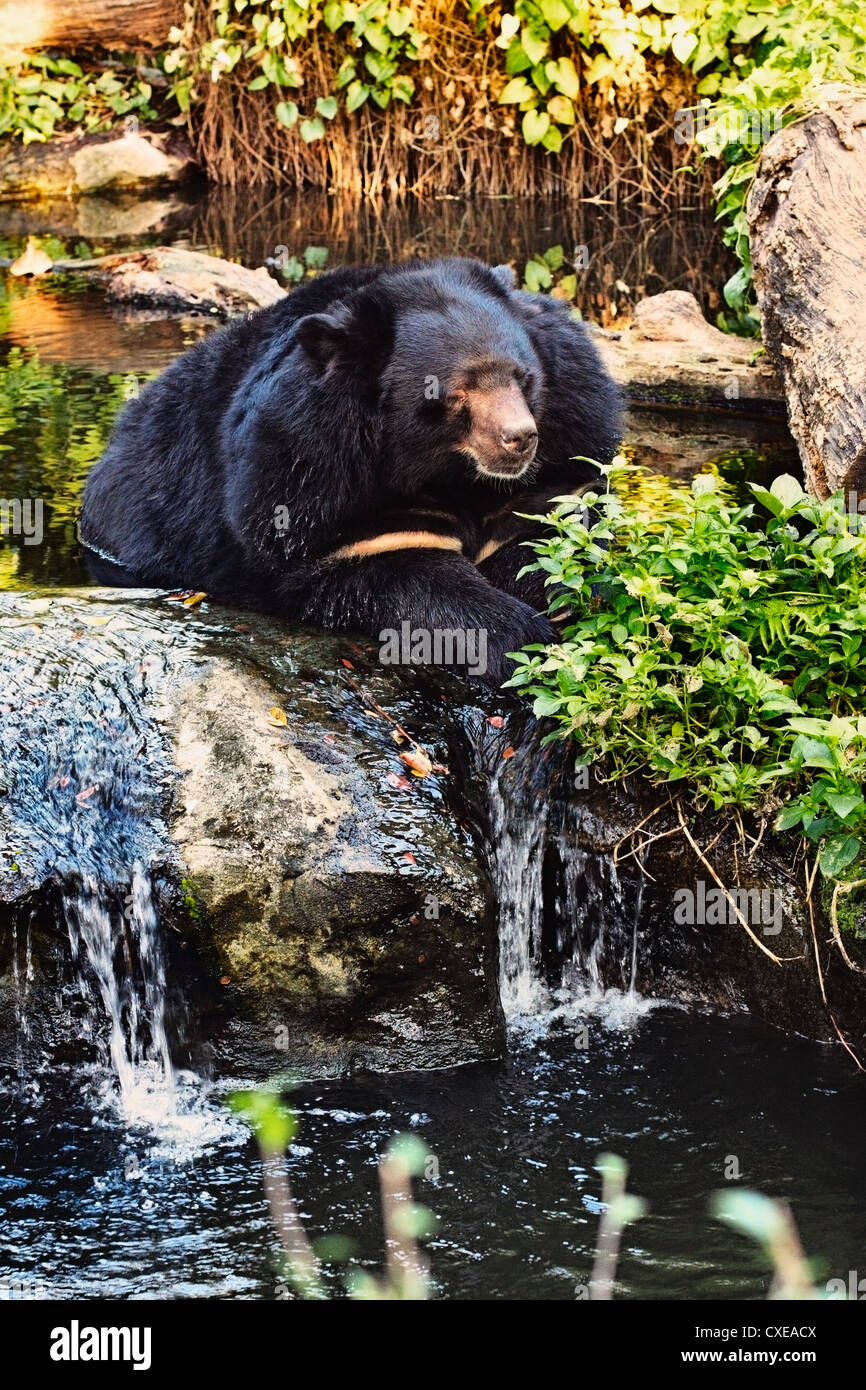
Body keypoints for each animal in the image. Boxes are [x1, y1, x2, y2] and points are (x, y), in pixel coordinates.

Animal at [79, 257, 622, 685]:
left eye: (523, 377)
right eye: (456, 392)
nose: (519, 438)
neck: (444, 470)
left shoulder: (564, 436)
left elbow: (543, 532)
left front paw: (568, 603)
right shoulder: (307, 475)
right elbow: (401, 571)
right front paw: (519, 638)